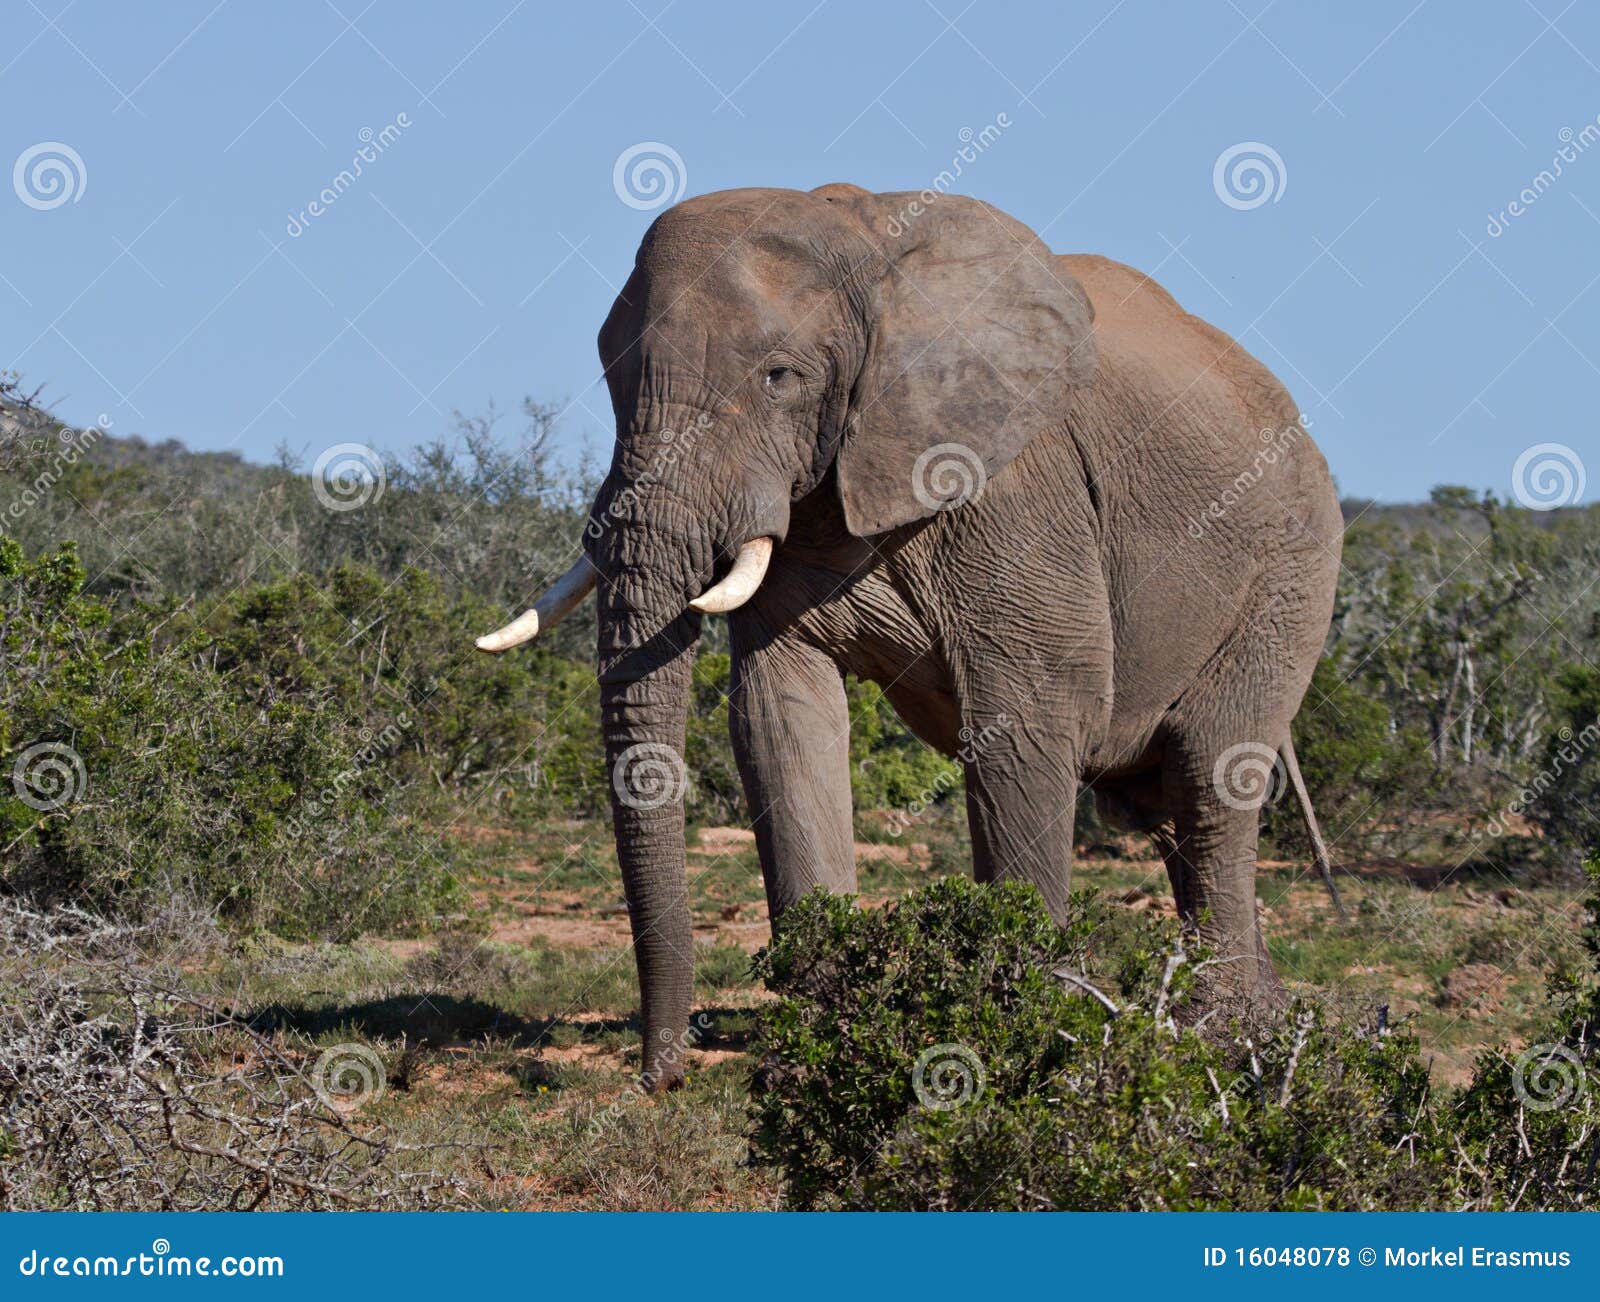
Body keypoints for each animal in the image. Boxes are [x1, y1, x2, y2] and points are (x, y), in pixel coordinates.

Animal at [477, 183, 1344, 1090]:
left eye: (780, 378)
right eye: (612, 375)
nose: (660, 1077)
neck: (869, 250)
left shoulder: (1017, 486)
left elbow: (1030, 718)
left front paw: (1023, 1040)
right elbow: (781, 722)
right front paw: (812, 1051)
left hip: (1291, 571)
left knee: (1209, 773)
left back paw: (1226, 1036)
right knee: (1160, 803)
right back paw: (1268, 1023)